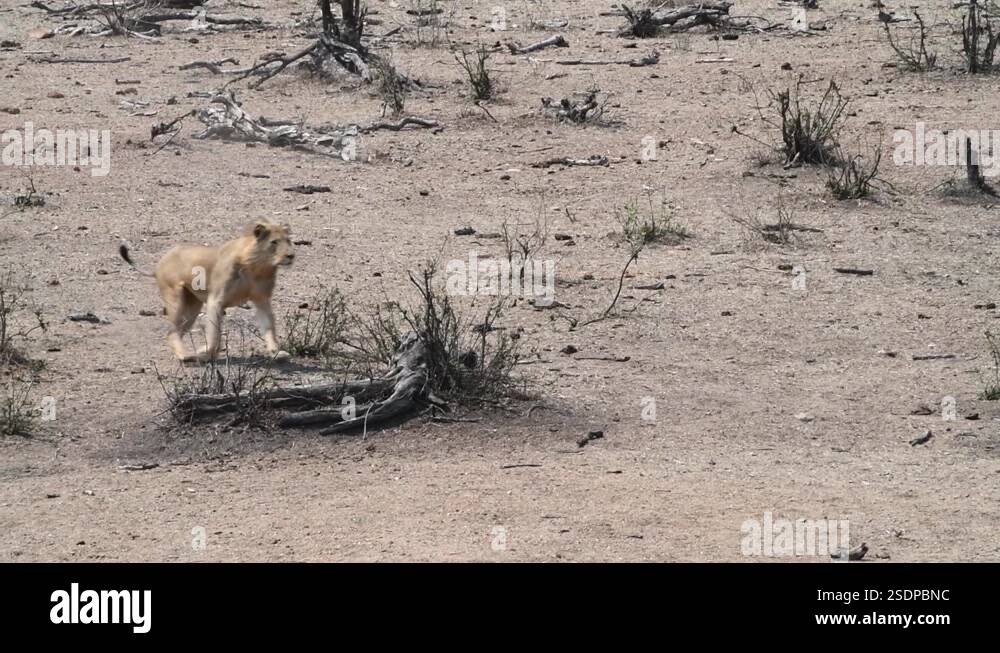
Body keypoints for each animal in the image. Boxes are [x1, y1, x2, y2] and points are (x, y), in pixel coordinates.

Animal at [119, 221, 296, 363]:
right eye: (274, 242)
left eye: (289, 241)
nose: (291, 255)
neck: (257, 267)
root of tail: (159, 264)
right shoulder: (216, 300)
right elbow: (214, 334)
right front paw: (205, 352)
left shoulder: (262, 300)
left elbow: (269, 327)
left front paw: (276, 352)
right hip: (175, 298)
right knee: (171, 332)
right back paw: (186, 356)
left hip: (191, 308)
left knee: (177, 331)